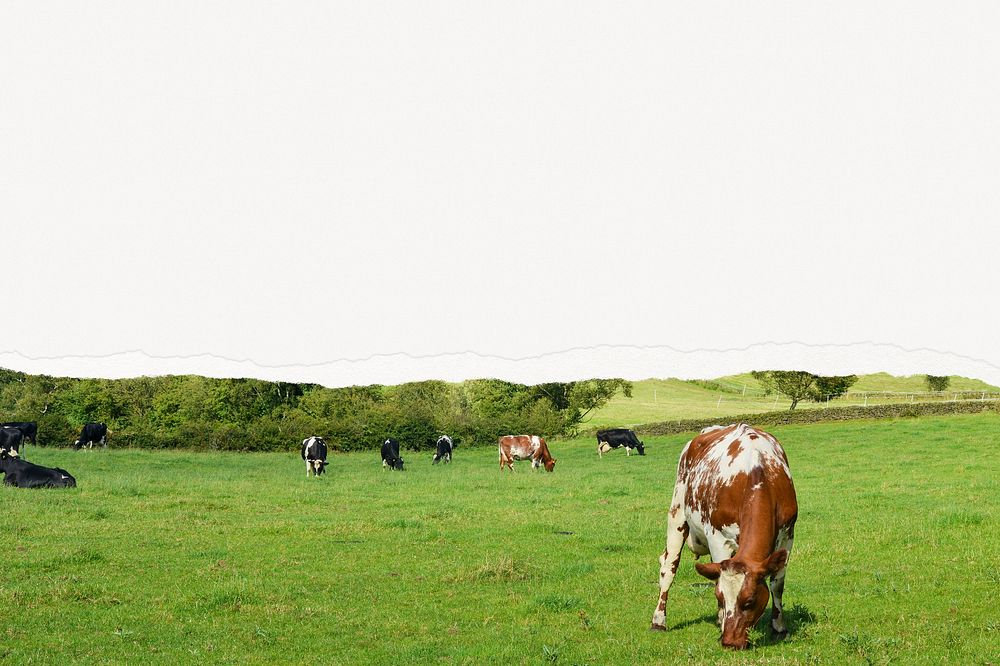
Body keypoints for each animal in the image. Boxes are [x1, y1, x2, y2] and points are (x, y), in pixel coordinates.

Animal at [650, 423, 797, 650]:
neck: (758, 471)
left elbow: (777, 584)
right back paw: (659, 620)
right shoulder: (718, 538)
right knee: (668, 567)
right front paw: (721, 620)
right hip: (677, 513)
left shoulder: (788, 535)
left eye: (749, 601)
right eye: (720, 597)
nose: (730, 642)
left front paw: (779, 628)